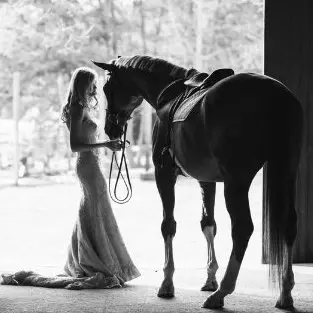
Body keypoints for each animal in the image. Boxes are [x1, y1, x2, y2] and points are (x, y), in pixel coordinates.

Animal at [91, 54, 302, 308]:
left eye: (107, 87)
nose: (110, 128)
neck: (167, 94)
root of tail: (274, 94)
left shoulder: (164, 174)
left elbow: (168, 225)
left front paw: (167, 283)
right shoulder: (206, 180)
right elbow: (208, 224)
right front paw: (210, 277)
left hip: (237, 182)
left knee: (242, 228)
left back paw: (221, 293)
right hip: (287, 171)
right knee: (289, 223)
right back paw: (285, 293)